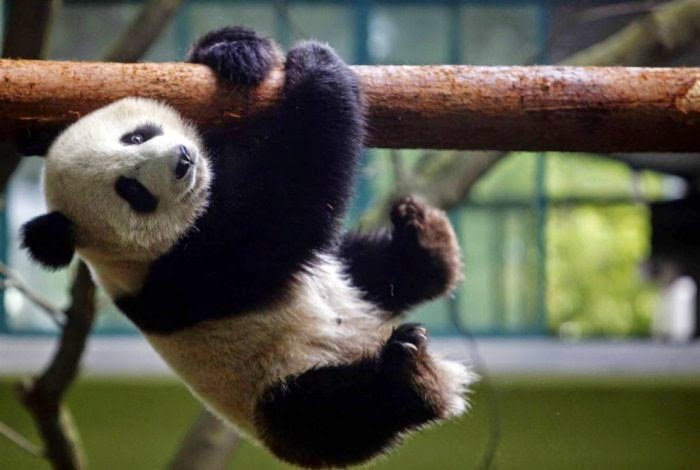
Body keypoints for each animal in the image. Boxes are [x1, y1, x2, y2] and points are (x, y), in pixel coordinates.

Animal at [19, 27, 474, 469]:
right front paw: (318, 70)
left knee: (366, 269)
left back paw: (427, 244)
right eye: (131, 191)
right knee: (342, 408)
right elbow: (285, 202)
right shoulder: (190, 271)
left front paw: (235, 52)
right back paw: (414, 375)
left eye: (136, 136)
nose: (182, 160)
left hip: (345, 285)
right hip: (281, 392)